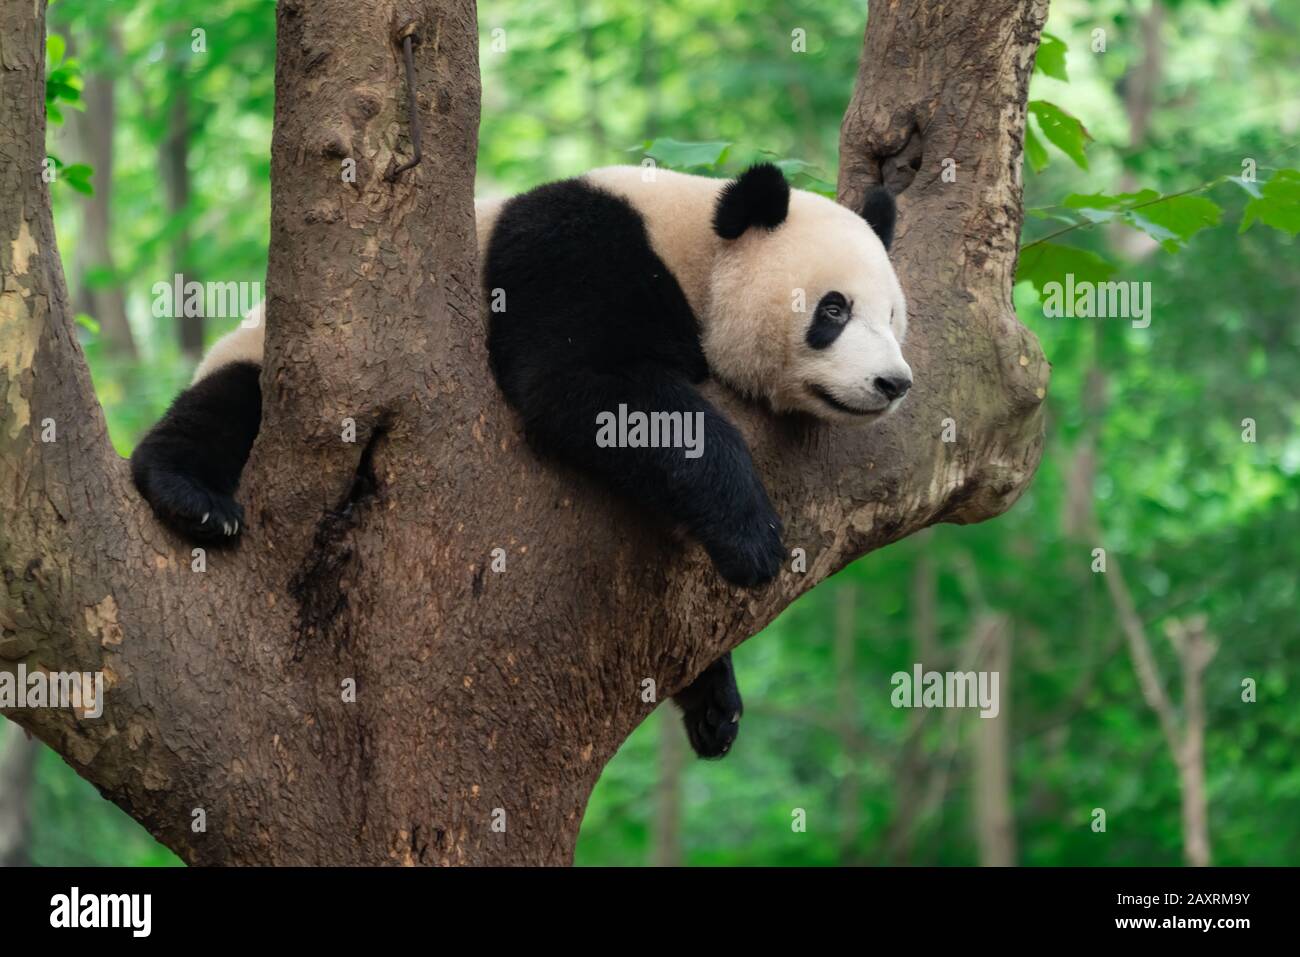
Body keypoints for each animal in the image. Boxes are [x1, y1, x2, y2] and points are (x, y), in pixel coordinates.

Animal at [129, 163, 911, 759]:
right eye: (833, 310)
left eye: (895, 316)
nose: (893, 383)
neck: (695, 248)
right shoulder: (576, 250)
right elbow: (585, 383)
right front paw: (752, 538)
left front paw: (715, 697)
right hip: (275, 366)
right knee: (228, 407)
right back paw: (190, 496)